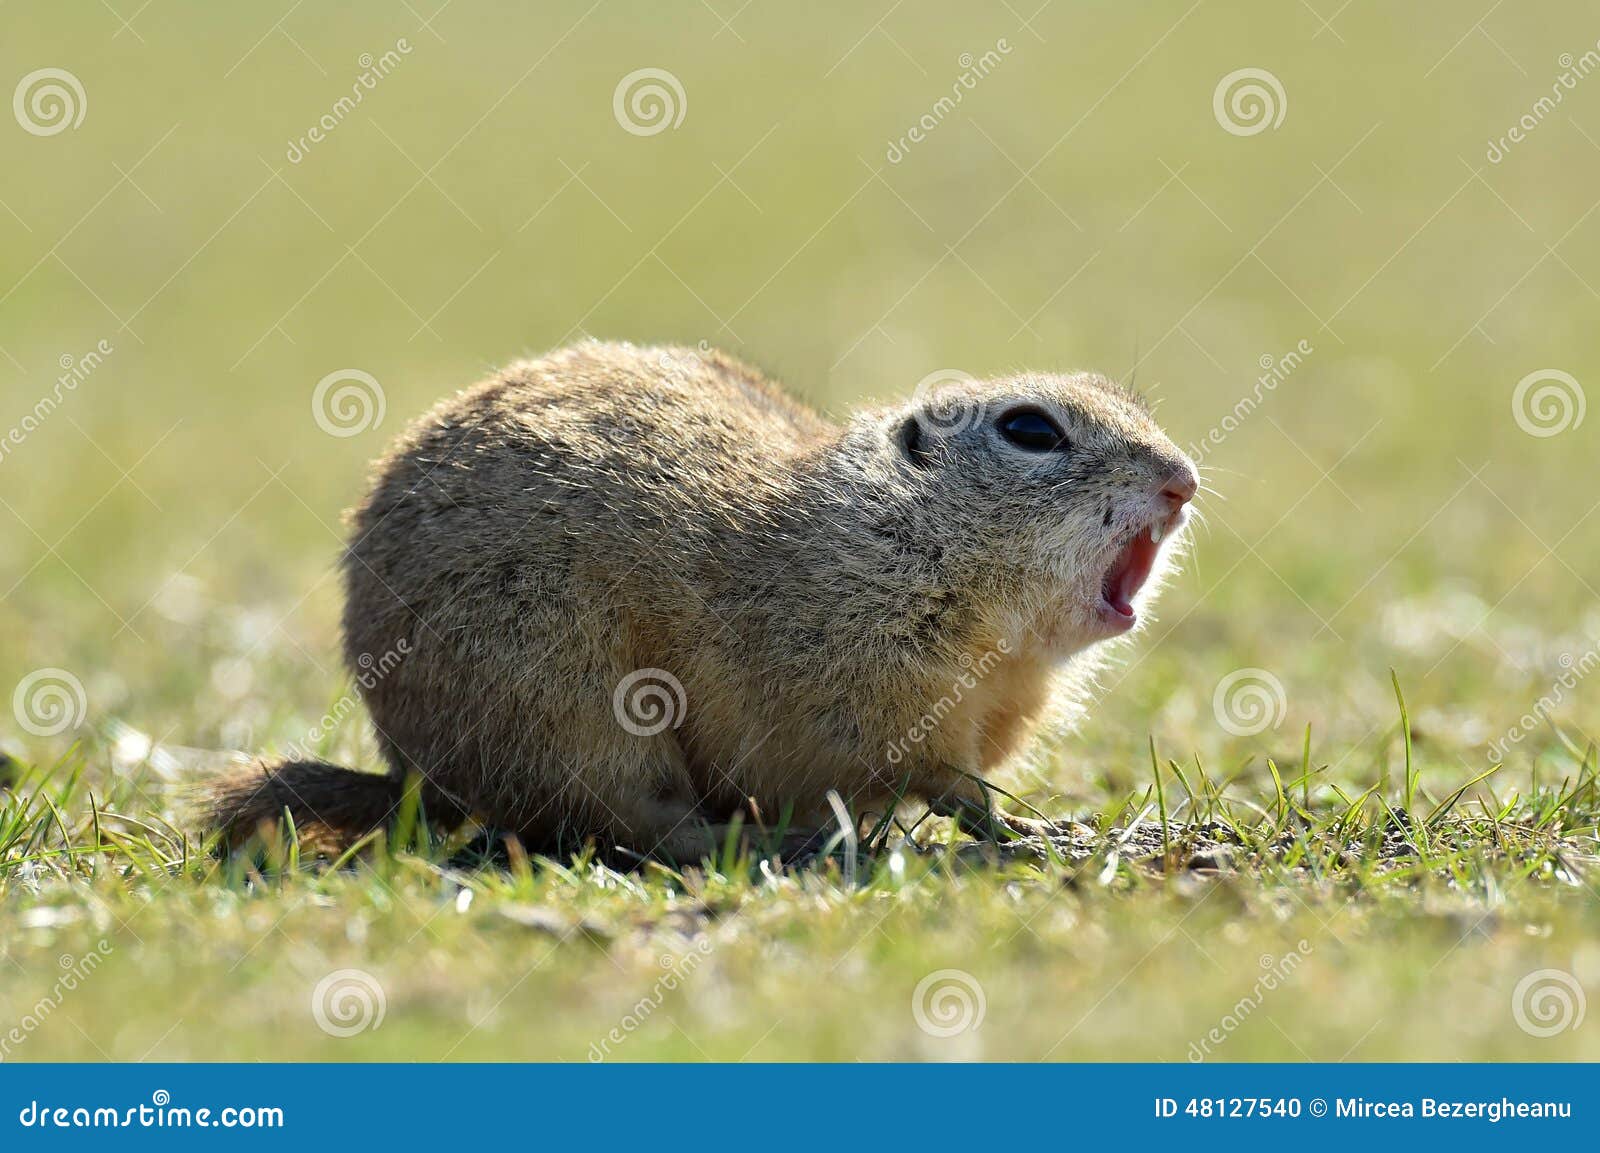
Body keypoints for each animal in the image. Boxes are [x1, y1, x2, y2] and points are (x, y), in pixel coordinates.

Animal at [205, 341, 1197, 861]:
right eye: (1030, 429)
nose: (1182, 478)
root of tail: (414, 777)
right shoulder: (875, 694)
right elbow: (947, 785)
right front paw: (1030, 832)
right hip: (574, 715)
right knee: (628, 823)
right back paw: (755, 844)